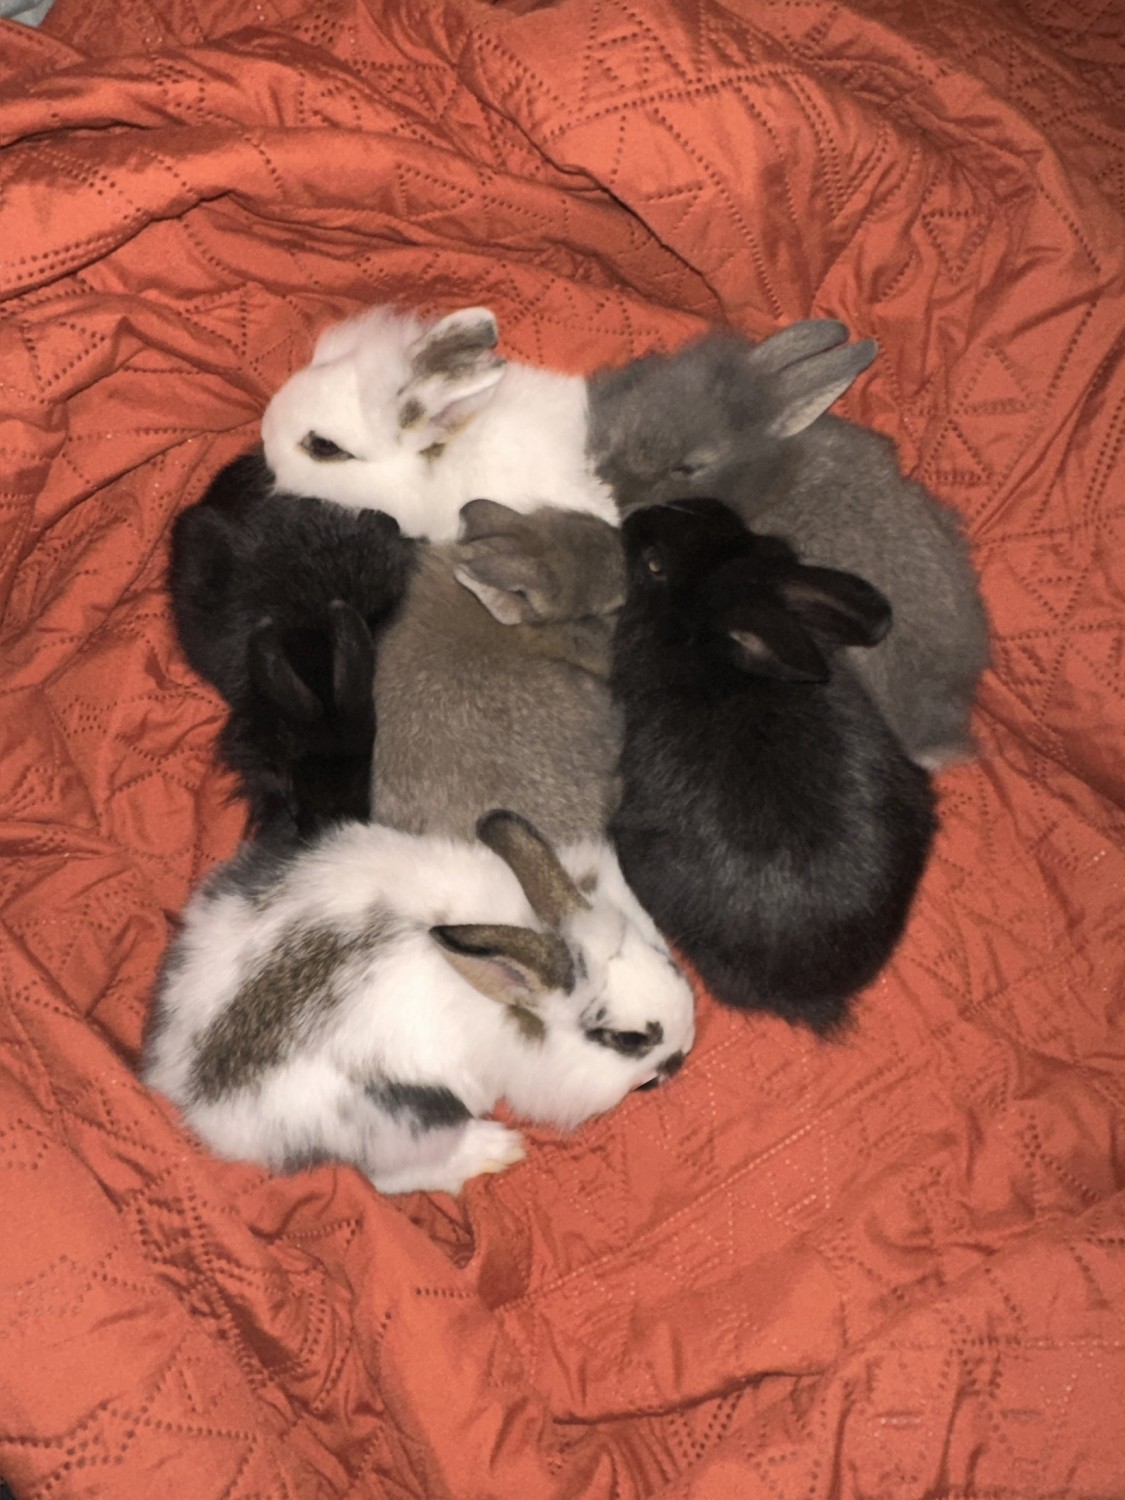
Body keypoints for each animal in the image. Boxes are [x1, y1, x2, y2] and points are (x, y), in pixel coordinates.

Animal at [141, 809, 695, 1195]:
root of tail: (189, 1090)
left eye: (665, 959)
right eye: (626, 1039)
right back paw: (493, 1150)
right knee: (386, 1180)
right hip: (408, 1115)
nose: (685, 1051)